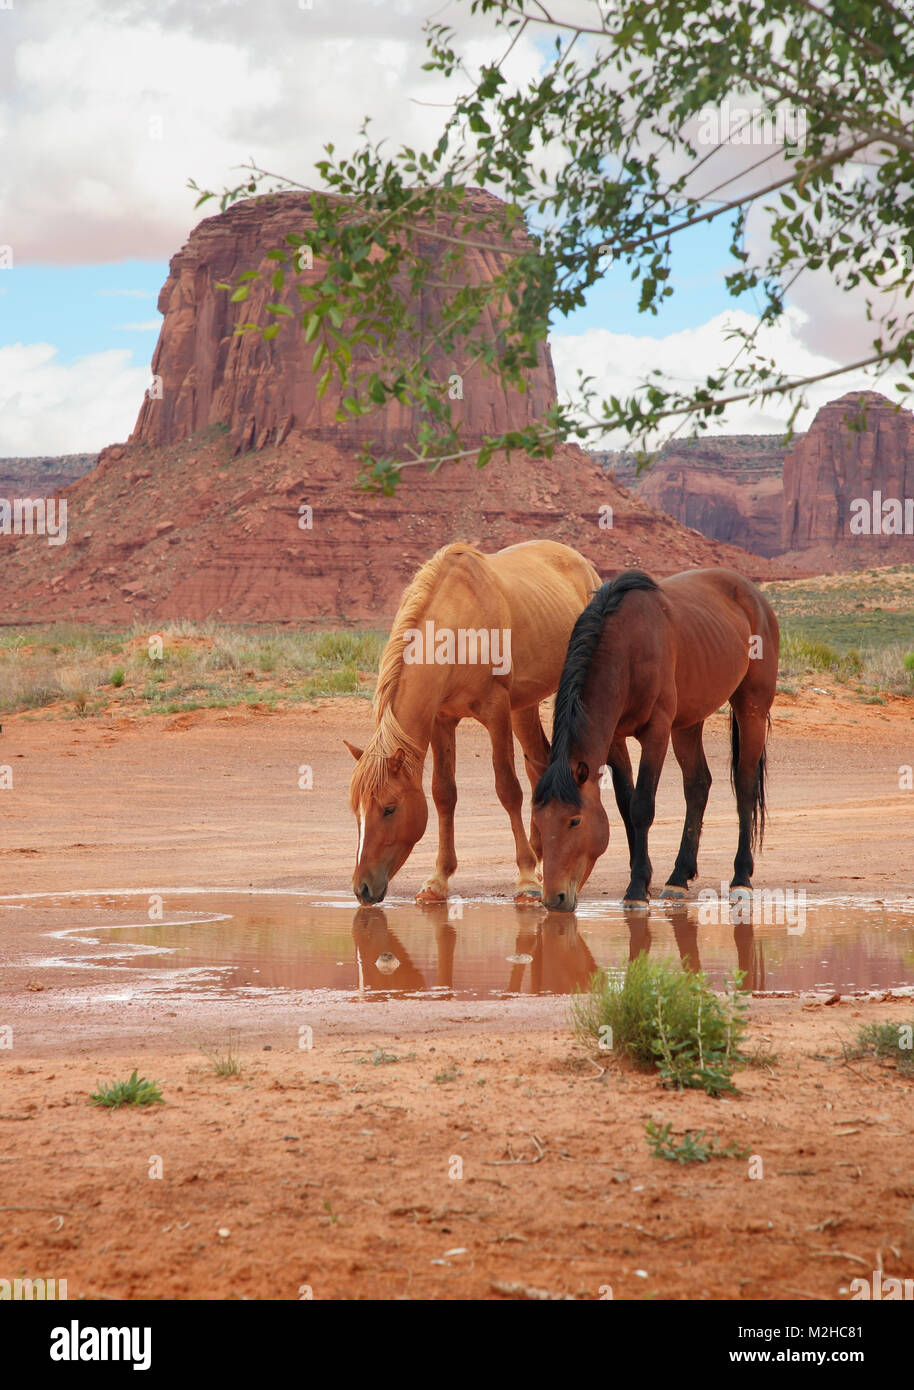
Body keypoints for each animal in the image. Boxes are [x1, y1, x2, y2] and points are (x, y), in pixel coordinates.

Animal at [345, 539, 600, 905]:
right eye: (358, 812)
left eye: (389, 809)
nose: (362, 888)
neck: (459, 627)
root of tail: (582, 563)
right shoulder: (442, 719)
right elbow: (443, 793)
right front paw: (438, 880)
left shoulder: (495, 710)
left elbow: (507, 788)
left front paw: (525, 879)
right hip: (523, 706)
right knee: (538, 763)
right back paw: (543, 857)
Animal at [531, 567, 779, 911]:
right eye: (538, 822)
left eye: (575, 821)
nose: (554, 898)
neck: (627, 649)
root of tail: (752, 594)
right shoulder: (614, 738)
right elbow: (625, 805)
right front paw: (641, 876)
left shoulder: (656, 731)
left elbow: (642, 805)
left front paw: (637, 889)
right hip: (688, 722)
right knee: (697, 785)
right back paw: (678, 878)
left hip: (751, 707)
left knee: (744, 786)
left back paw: (741, 878)